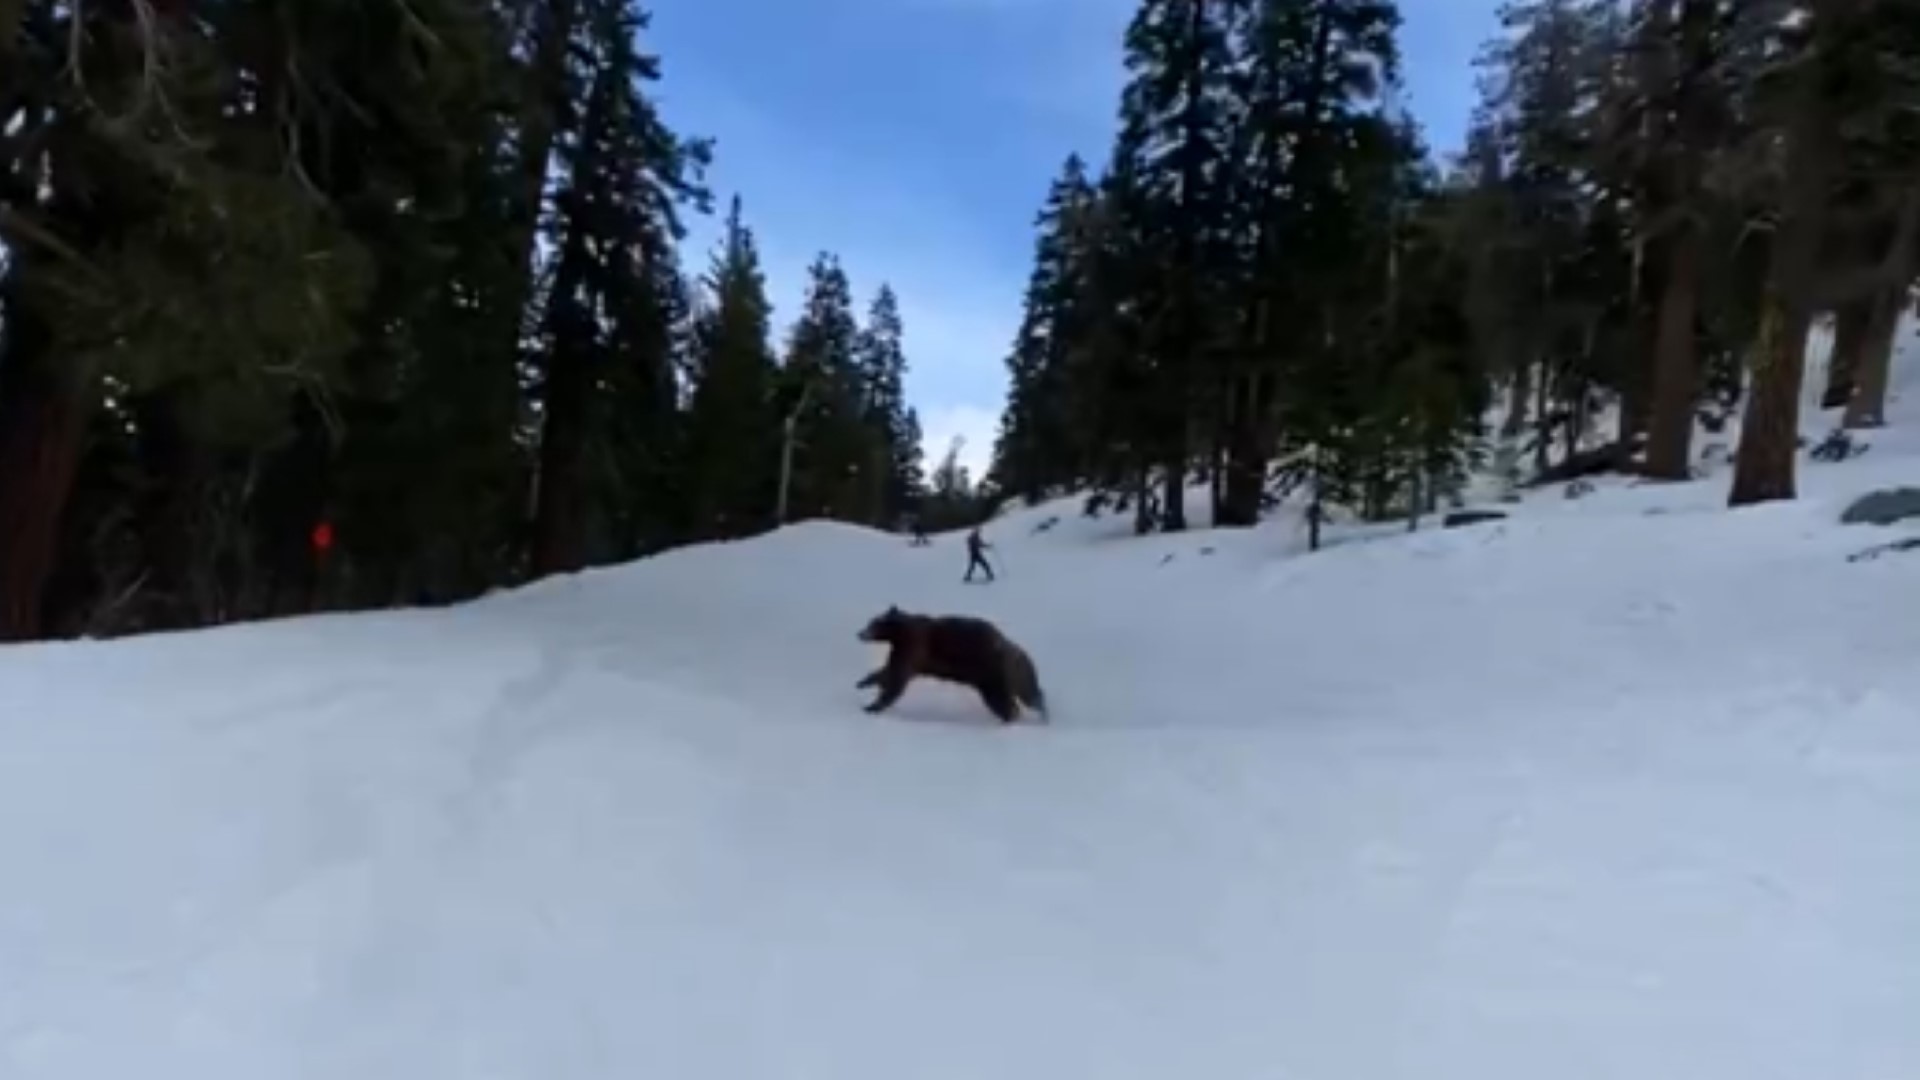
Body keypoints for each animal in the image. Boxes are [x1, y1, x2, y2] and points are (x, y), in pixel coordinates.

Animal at [855, 605, 1048, 724]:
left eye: (872, 623)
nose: (859, 633)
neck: (899, 634)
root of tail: (1012, 647)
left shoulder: (914, 646)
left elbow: (897, 677)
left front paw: (872, 706)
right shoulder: (906, 652)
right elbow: (888, 670)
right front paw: (864, 682)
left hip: (992, 674)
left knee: (1004, 700)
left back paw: (1013, 718)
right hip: (1004, 675)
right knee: (1027, 692)